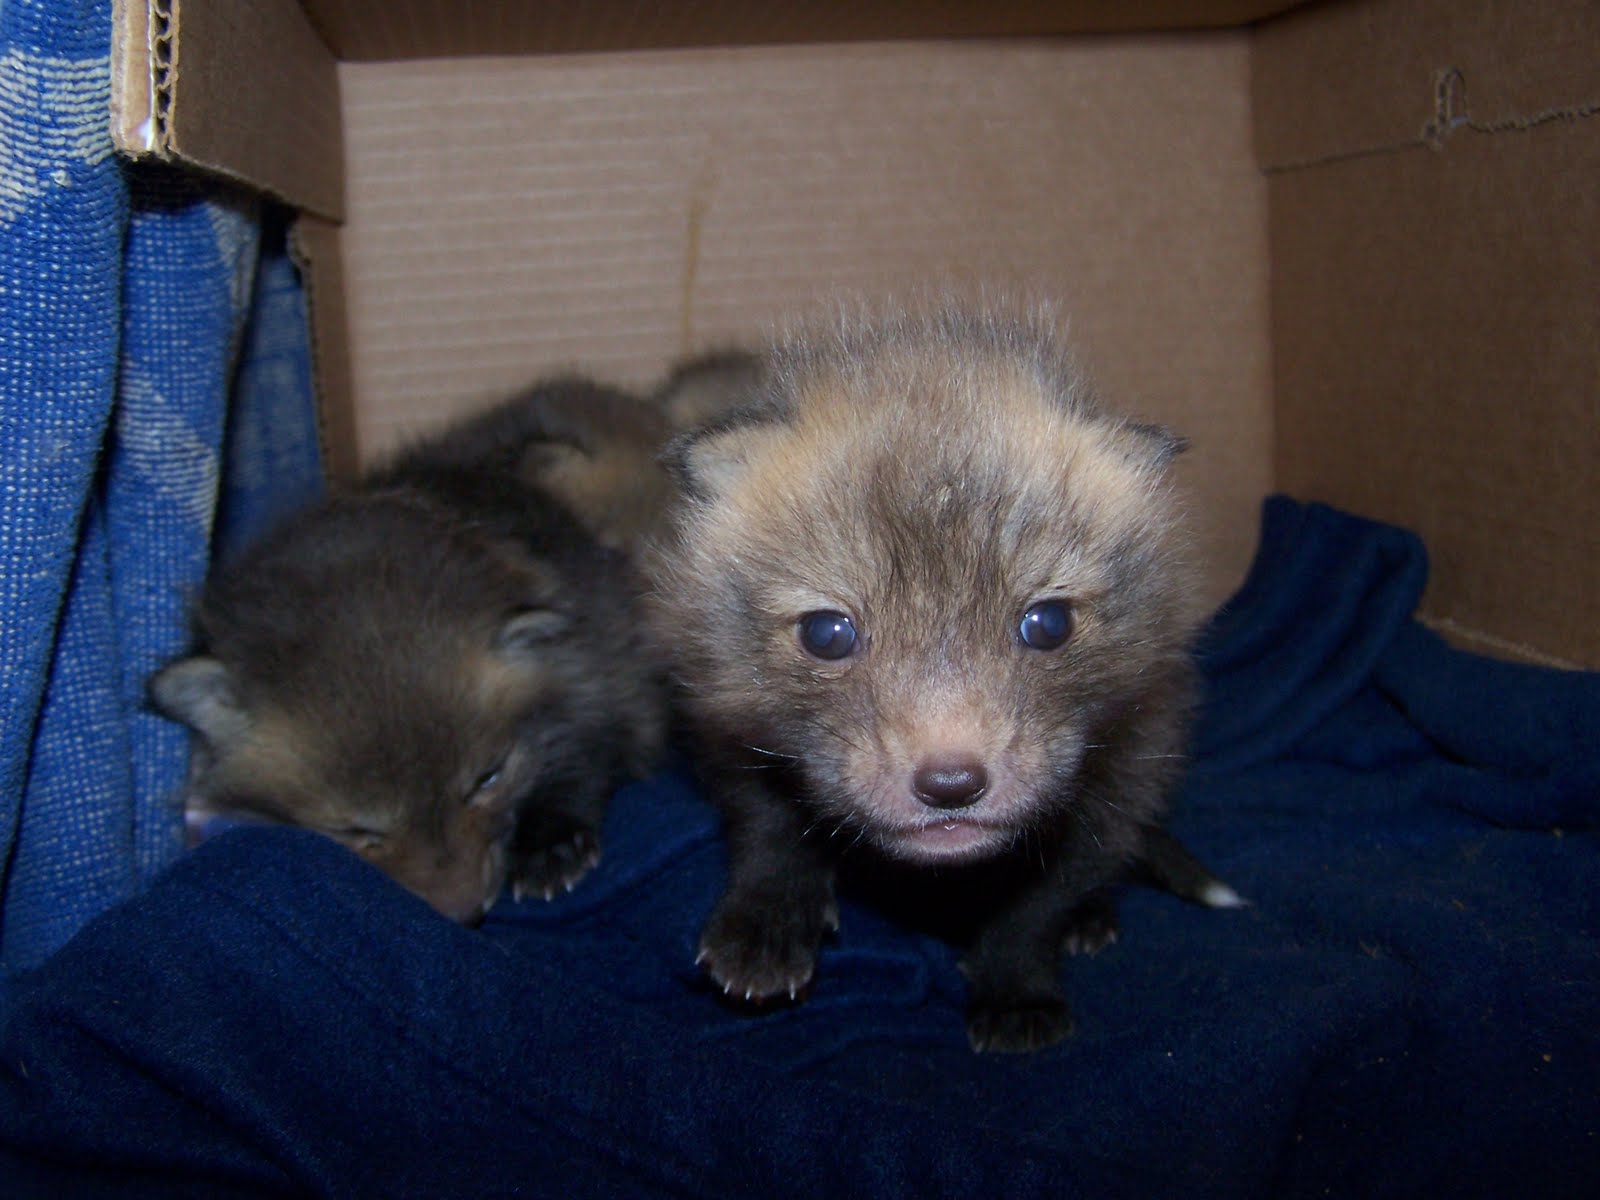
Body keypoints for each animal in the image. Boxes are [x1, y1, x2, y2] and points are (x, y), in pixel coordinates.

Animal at [150, 405, 667, 924]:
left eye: (488, 777)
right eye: (356, 832)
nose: (465, 914)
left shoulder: (603, 676)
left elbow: (583, 755)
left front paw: (549, 842)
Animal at [650, 304, 1239, 1052]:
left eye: (1048, 624)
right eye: (827, 634)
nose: (951, 785)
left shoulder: (1124, 778)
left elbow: (1037, 908)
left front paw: (1016, 990)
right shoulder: (729, 728)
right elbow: (772, 837)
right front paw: (766, 927)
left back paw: (1092, 921)